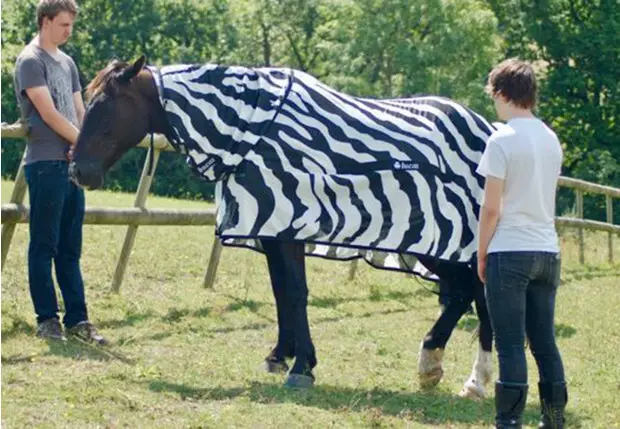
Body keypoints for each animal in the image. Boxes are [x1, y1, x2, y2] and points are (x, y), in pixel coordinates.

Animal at [69, 55, 494, 392]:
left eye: (106, 106)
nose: (78, 171)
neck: (253, 133)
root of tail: (485, 130)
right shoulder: (272, 229)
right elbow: (280, 292)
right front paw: (280, 355)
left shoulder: (290, 224)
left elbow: (295, 292)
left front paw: (303, 367)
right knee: (467, 293)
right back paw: (446, 369)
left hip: (448, 241)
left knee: (473, 293)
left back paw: (465, 375)